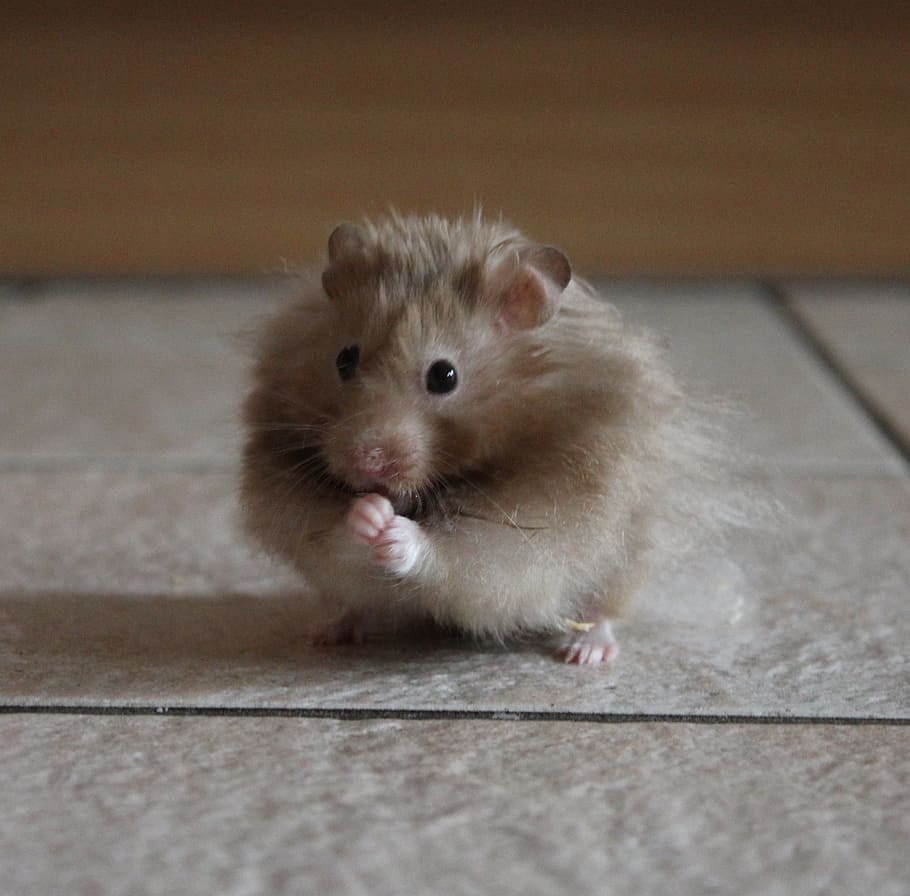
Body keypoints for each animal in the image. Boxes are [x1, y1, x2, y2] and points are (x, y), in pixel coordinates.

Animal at [240, 212, 745, 664]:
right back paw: (326, 633)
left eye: (444, 375)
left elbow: (453, 554)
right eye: (344, 359)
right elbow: (336, 535)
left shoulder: (533, 528)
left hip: (631, 552)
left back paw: (584, 653)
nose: (367, 461)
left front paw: (395, 532)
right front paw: (367, 514)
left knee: (604, 609)